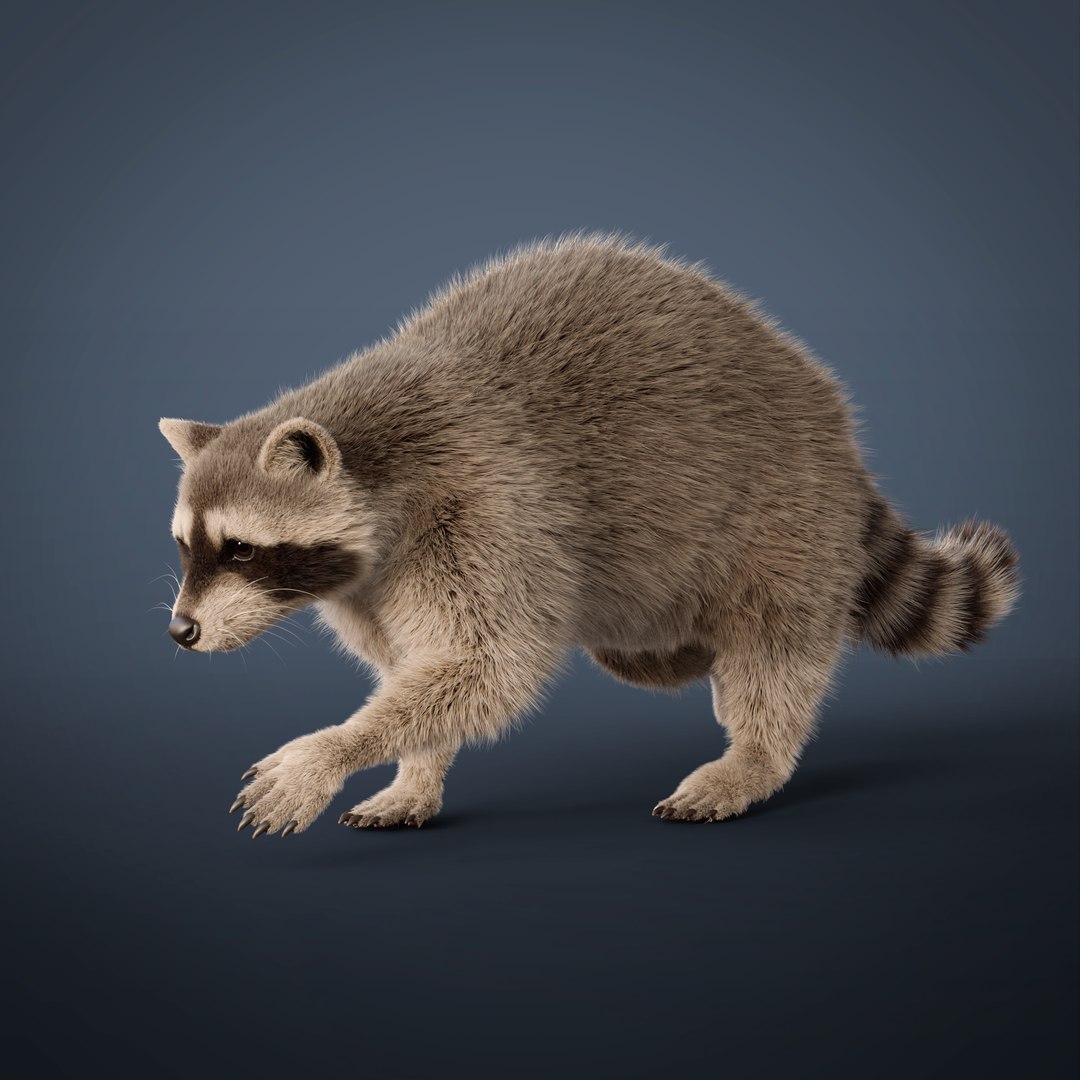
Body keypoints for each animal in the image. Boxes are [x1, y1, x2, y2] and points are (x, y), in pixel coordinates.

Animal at [159, 234, 1019, 837]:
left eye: (240, 548)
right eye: (184, 546)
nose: (181, 631)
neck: (376, 467)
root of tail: (834, 425)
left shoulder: (483, 510)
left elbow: (487, 665)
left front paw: (330, 751)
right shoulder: (371, 582)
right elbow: (421, 668)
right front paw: (412, 771)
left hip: (781, 509)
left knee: (772, 640)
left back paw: (754, 756)